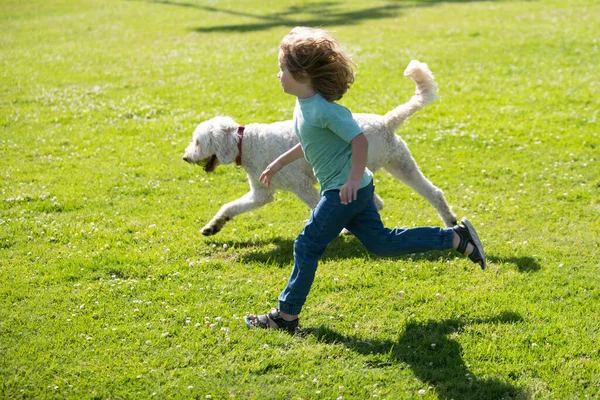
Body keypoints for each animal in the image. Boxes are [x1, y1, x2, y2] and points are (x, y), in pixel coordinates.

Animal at [182, 61, 454, 236]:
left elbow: (317, 208)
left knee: (378, 202)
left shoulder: (301, 186)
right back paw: (450, 221)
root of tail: (386, 121)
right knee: (429, 194)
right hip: (400, 164)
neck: (248, 144)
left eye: (198, 142)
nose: (185, 157)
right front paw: (213, 226)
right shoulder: (261, 195)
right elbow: (230, 207)